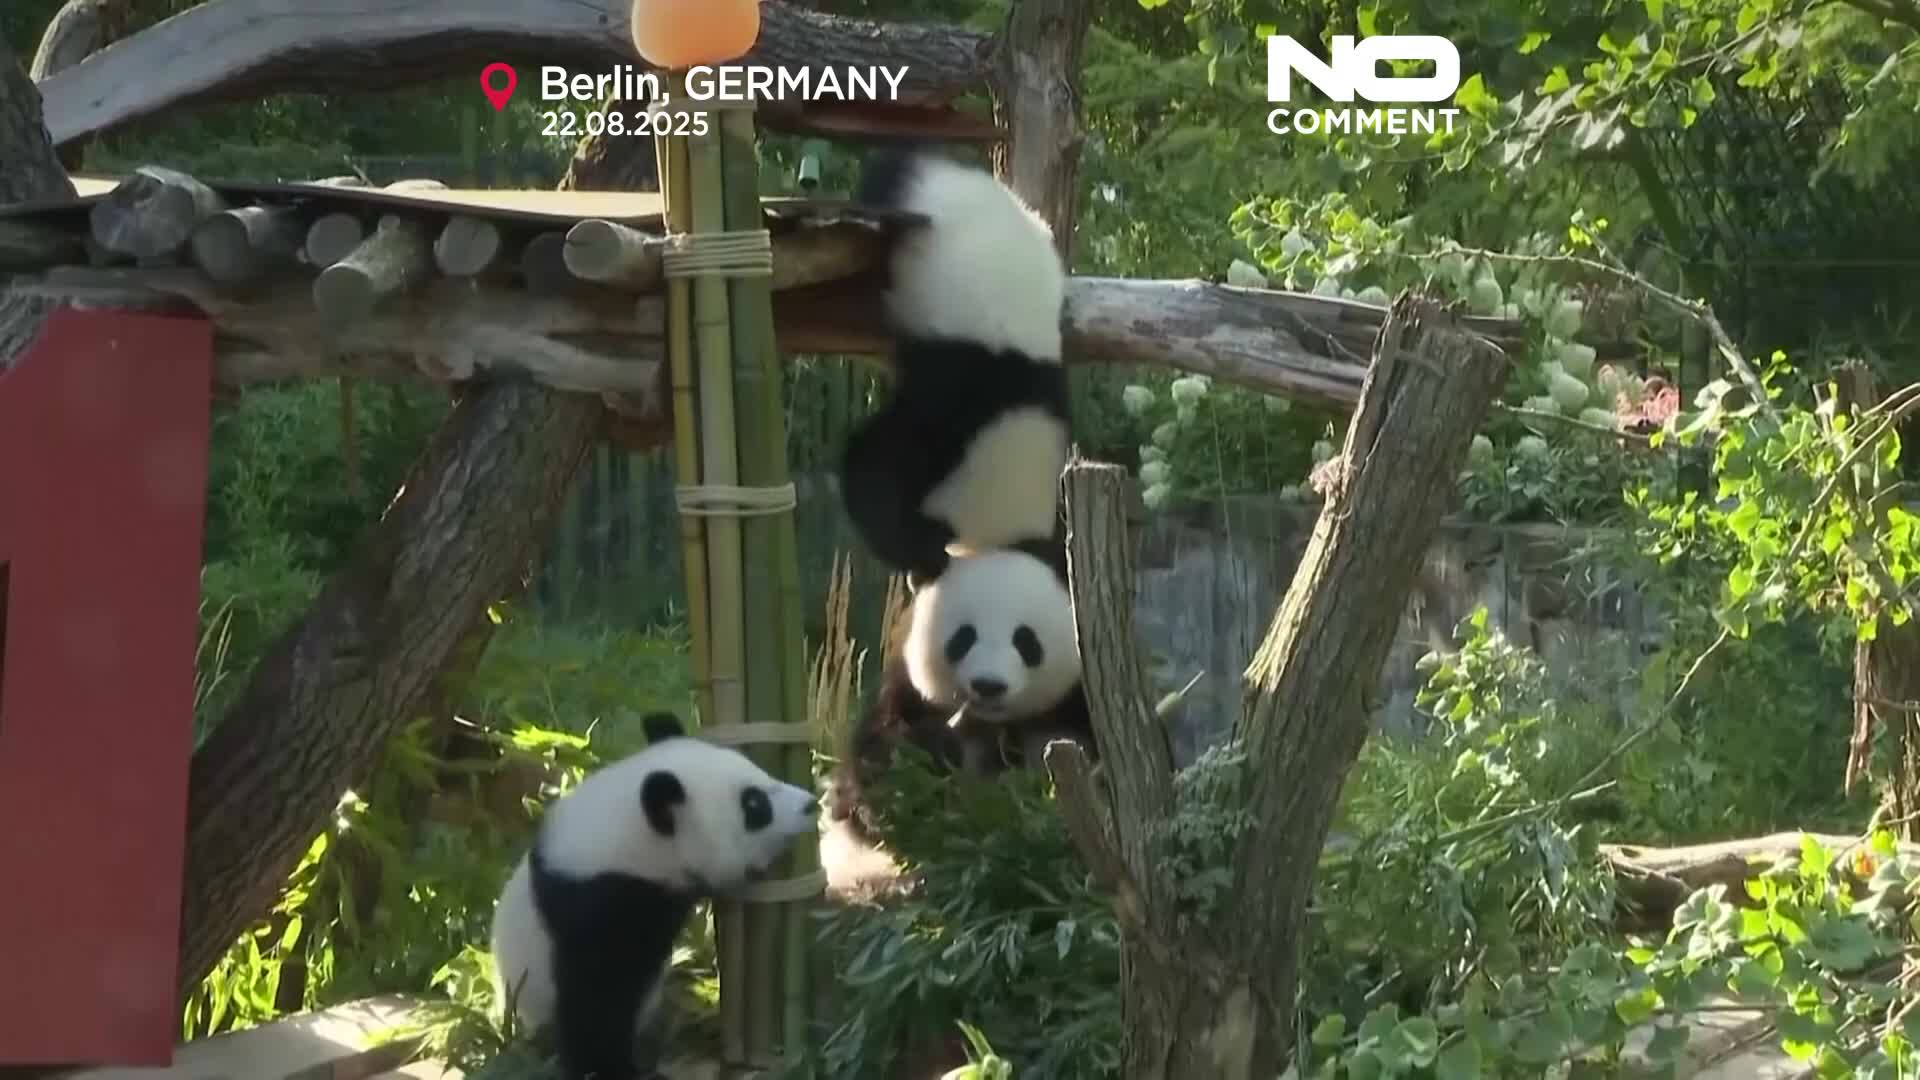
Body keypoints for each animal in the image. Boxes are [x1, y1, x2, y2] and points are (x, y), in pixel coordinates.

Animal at [827, 543, 1096, 847]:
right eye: (964, 637)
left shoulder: (1075, 707)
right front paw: (935, 747)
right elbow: (877, 770)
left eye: (1025, 640)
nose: (988, 685)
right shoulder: (906, 695)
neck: (993, 724)